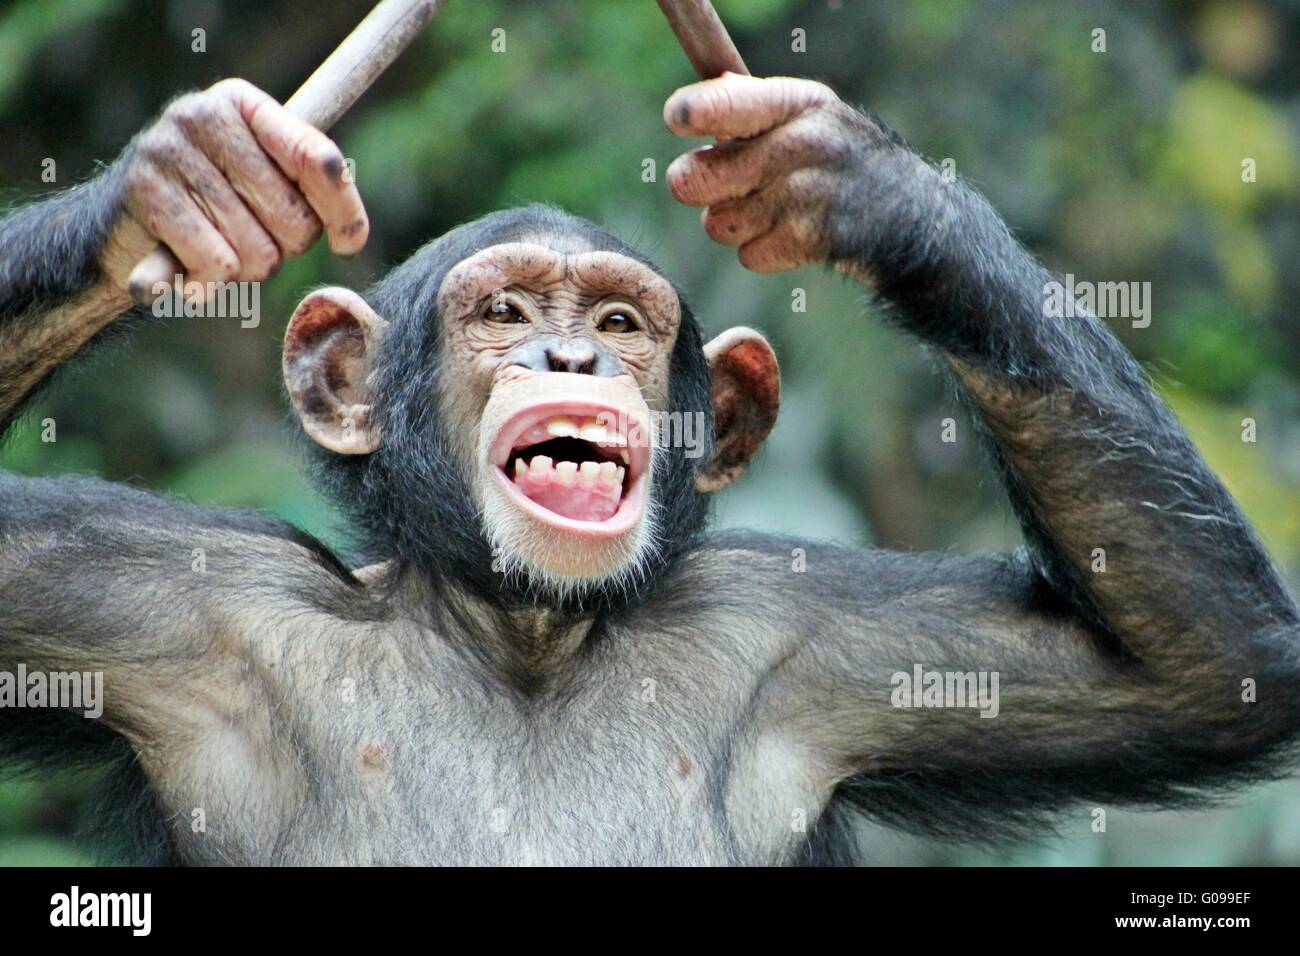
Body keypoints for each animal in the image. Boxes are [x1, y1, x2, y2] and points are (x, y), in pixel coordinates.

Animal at [1, 71, 1297, 866]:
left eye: (621, 322)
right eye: (507, 310)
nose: (571, 352)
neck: (521, 631)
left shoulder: (823, 641)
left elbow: (1194, 670)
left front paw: (860, 186)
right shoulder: (164, 603)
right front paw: (188, 179)